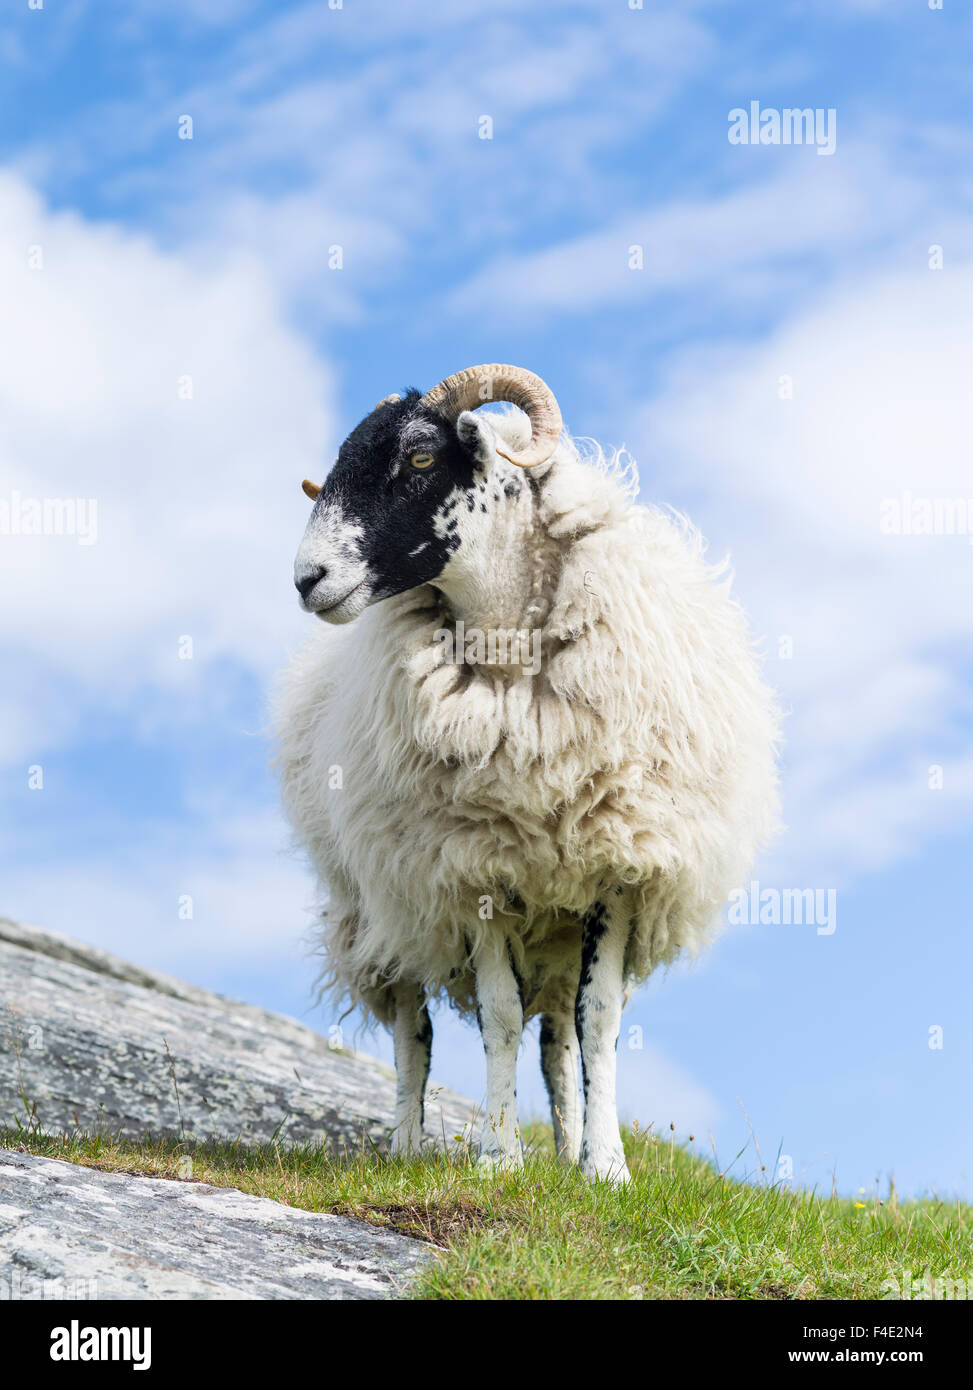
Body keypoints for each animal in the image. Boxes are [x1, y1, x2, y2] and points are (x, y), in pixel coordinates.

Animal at [275, 364, 780, 1183]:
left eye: (420, 458)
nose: (306, 578)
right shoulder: (469, 868)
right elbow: (501, 1017)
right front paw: (497, 1157)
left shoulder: (620, 868)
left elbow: (594, 1023)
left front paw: (605, 1167)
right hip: (384, 902)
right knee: (413, 1028)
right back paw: (406, 1146)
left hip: (555, 931)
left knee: (558, 1041)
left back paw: (568, 1152)